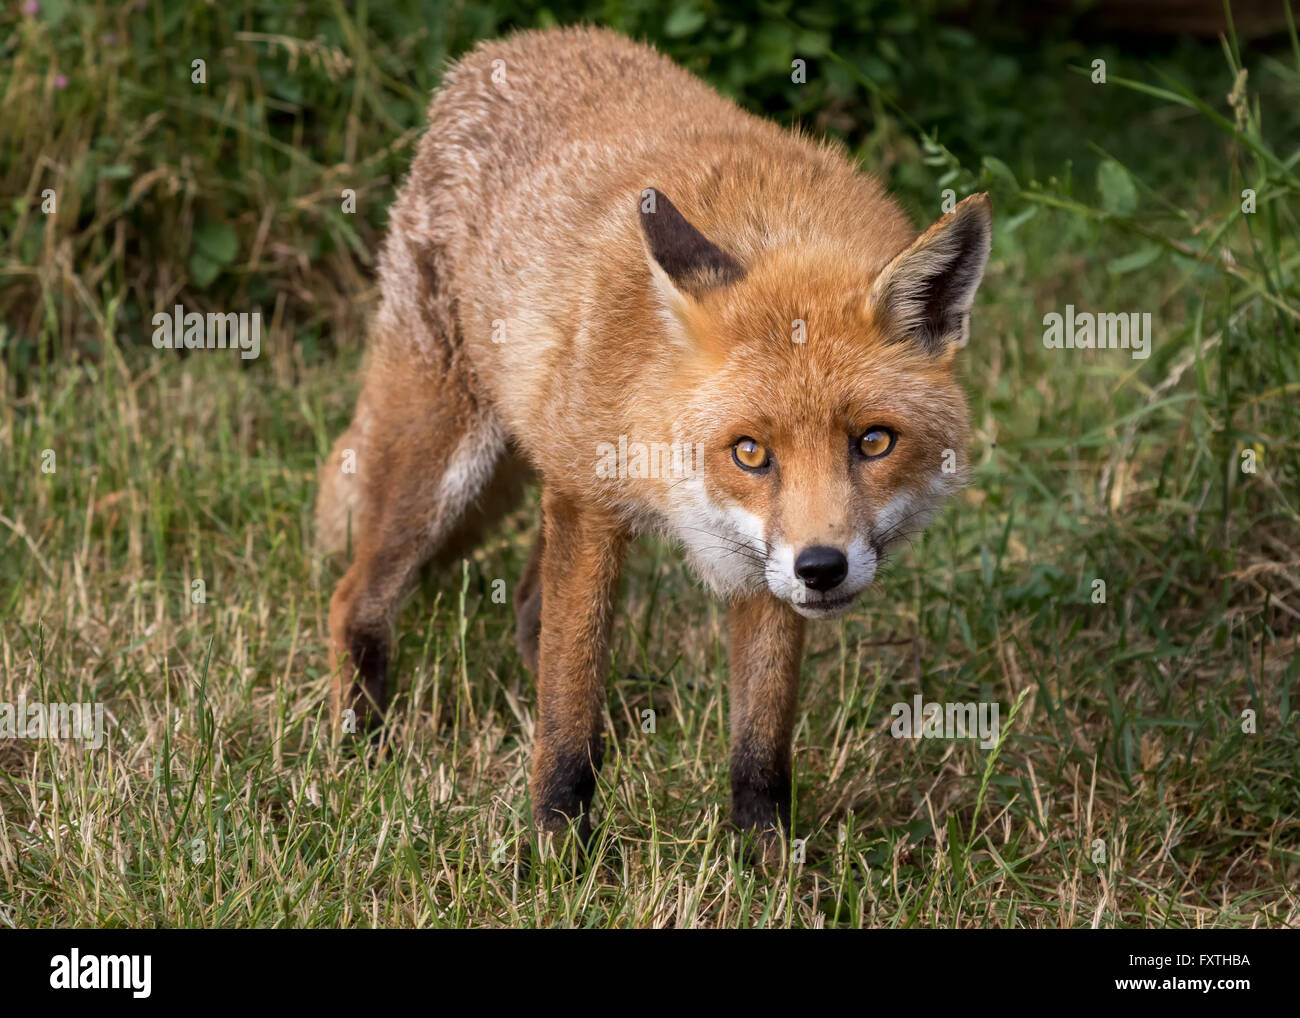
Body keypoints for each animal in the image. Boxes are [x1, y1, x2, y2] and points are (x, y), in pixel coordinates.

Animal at [317, 25, 992, 851]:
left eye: (873, 442)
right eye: (750, 451)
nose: (823, 569)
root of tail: (501, 48)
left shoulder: (762, 560)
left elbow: (761, 739)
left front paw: (767, 861)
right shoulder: (590, 506)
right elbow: (567, 715)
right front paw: (557, 851)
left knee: (530, 609)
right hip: (444, 457)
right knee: (358, 598)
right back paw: (362, 745)